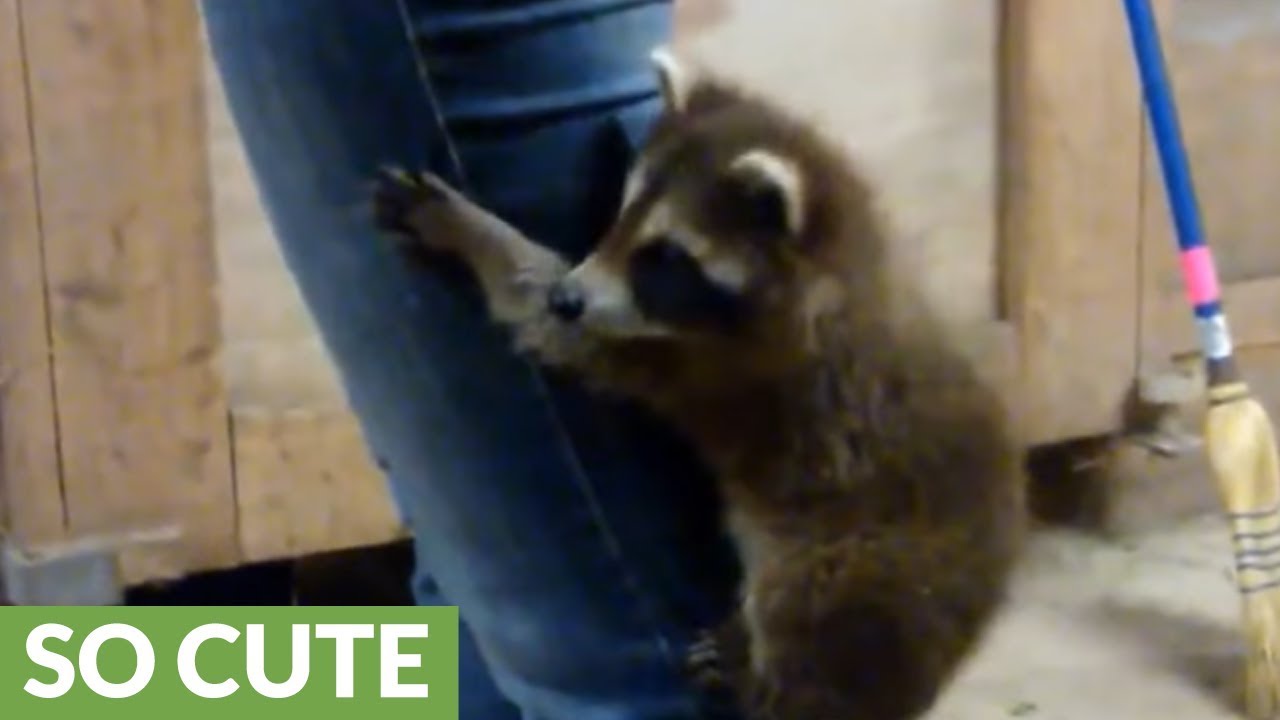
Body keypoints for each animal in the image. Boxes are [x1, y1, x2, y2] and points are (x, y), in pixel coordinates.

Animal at [371, 47, 1028, 720]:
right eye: (623, 214)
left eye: (666, 257)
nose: (569, 297)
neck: (841, 262)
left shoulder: (719, 368)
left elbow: (561, 329)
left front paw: (476, 235)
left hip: (850, 580)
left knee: (804, 650)